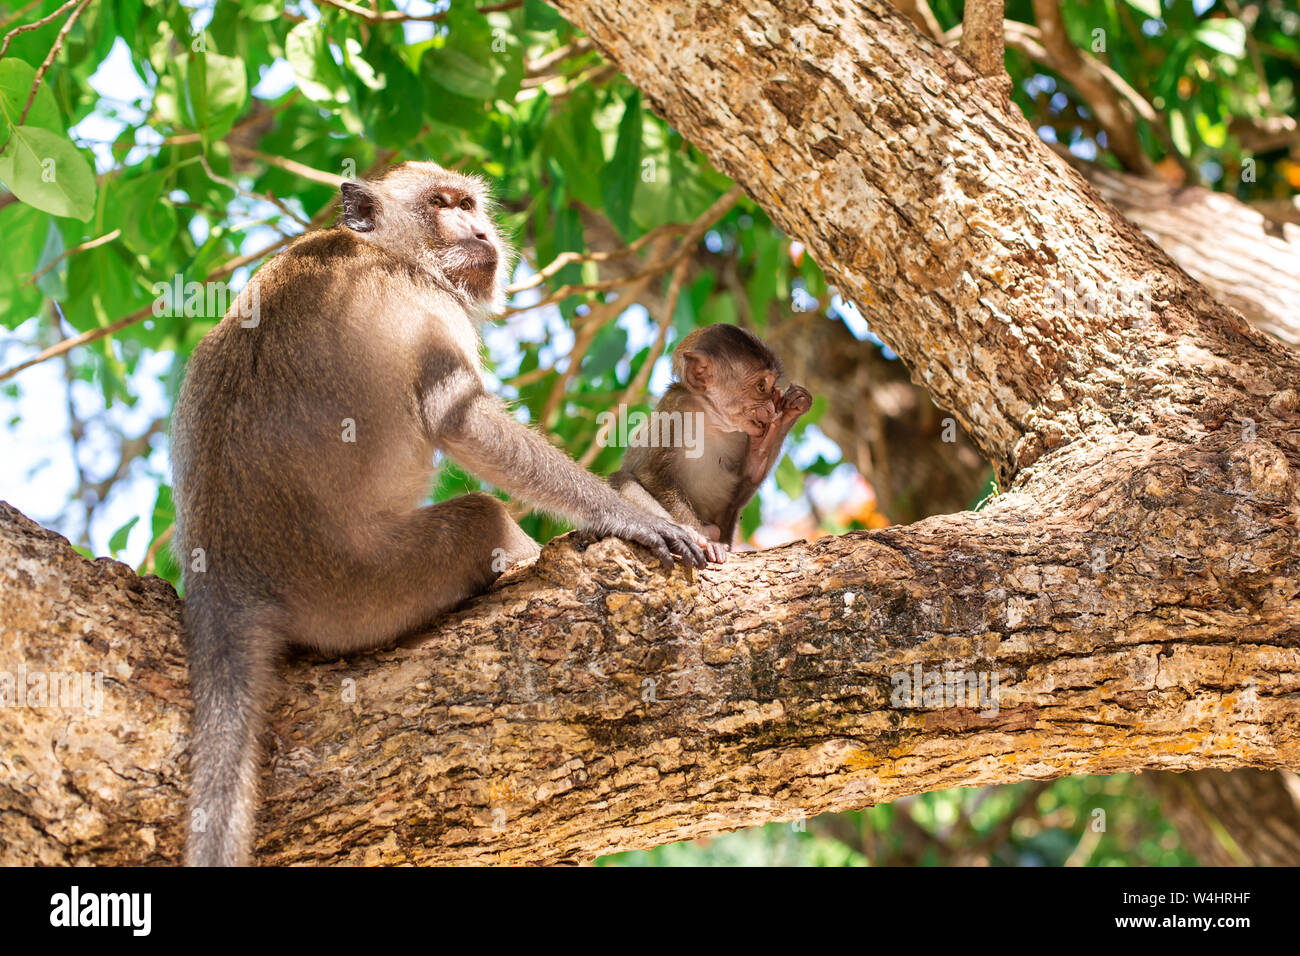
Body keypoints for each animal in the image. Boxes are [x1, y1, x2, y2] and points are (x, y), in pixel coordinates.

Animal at [169, 161, 711, 866]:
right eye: (443, 204)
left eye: (471, 204)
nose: (480, 231)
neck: (387, 251)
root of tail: (224, 575)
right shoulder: (428, 309)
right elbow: (462, 421)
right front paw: (630, 517)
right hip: (362, 589)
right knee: (479, 519)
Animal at [610, 324, 813, 563]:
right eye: (762, 386)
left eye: (773, 390)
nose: (772, 408)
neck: (711, 416)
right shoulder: (674, 407)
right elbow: (652, 473)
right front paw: (699, 538)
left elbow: (744, 483)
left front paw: (776, 428)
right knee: (621, 479)